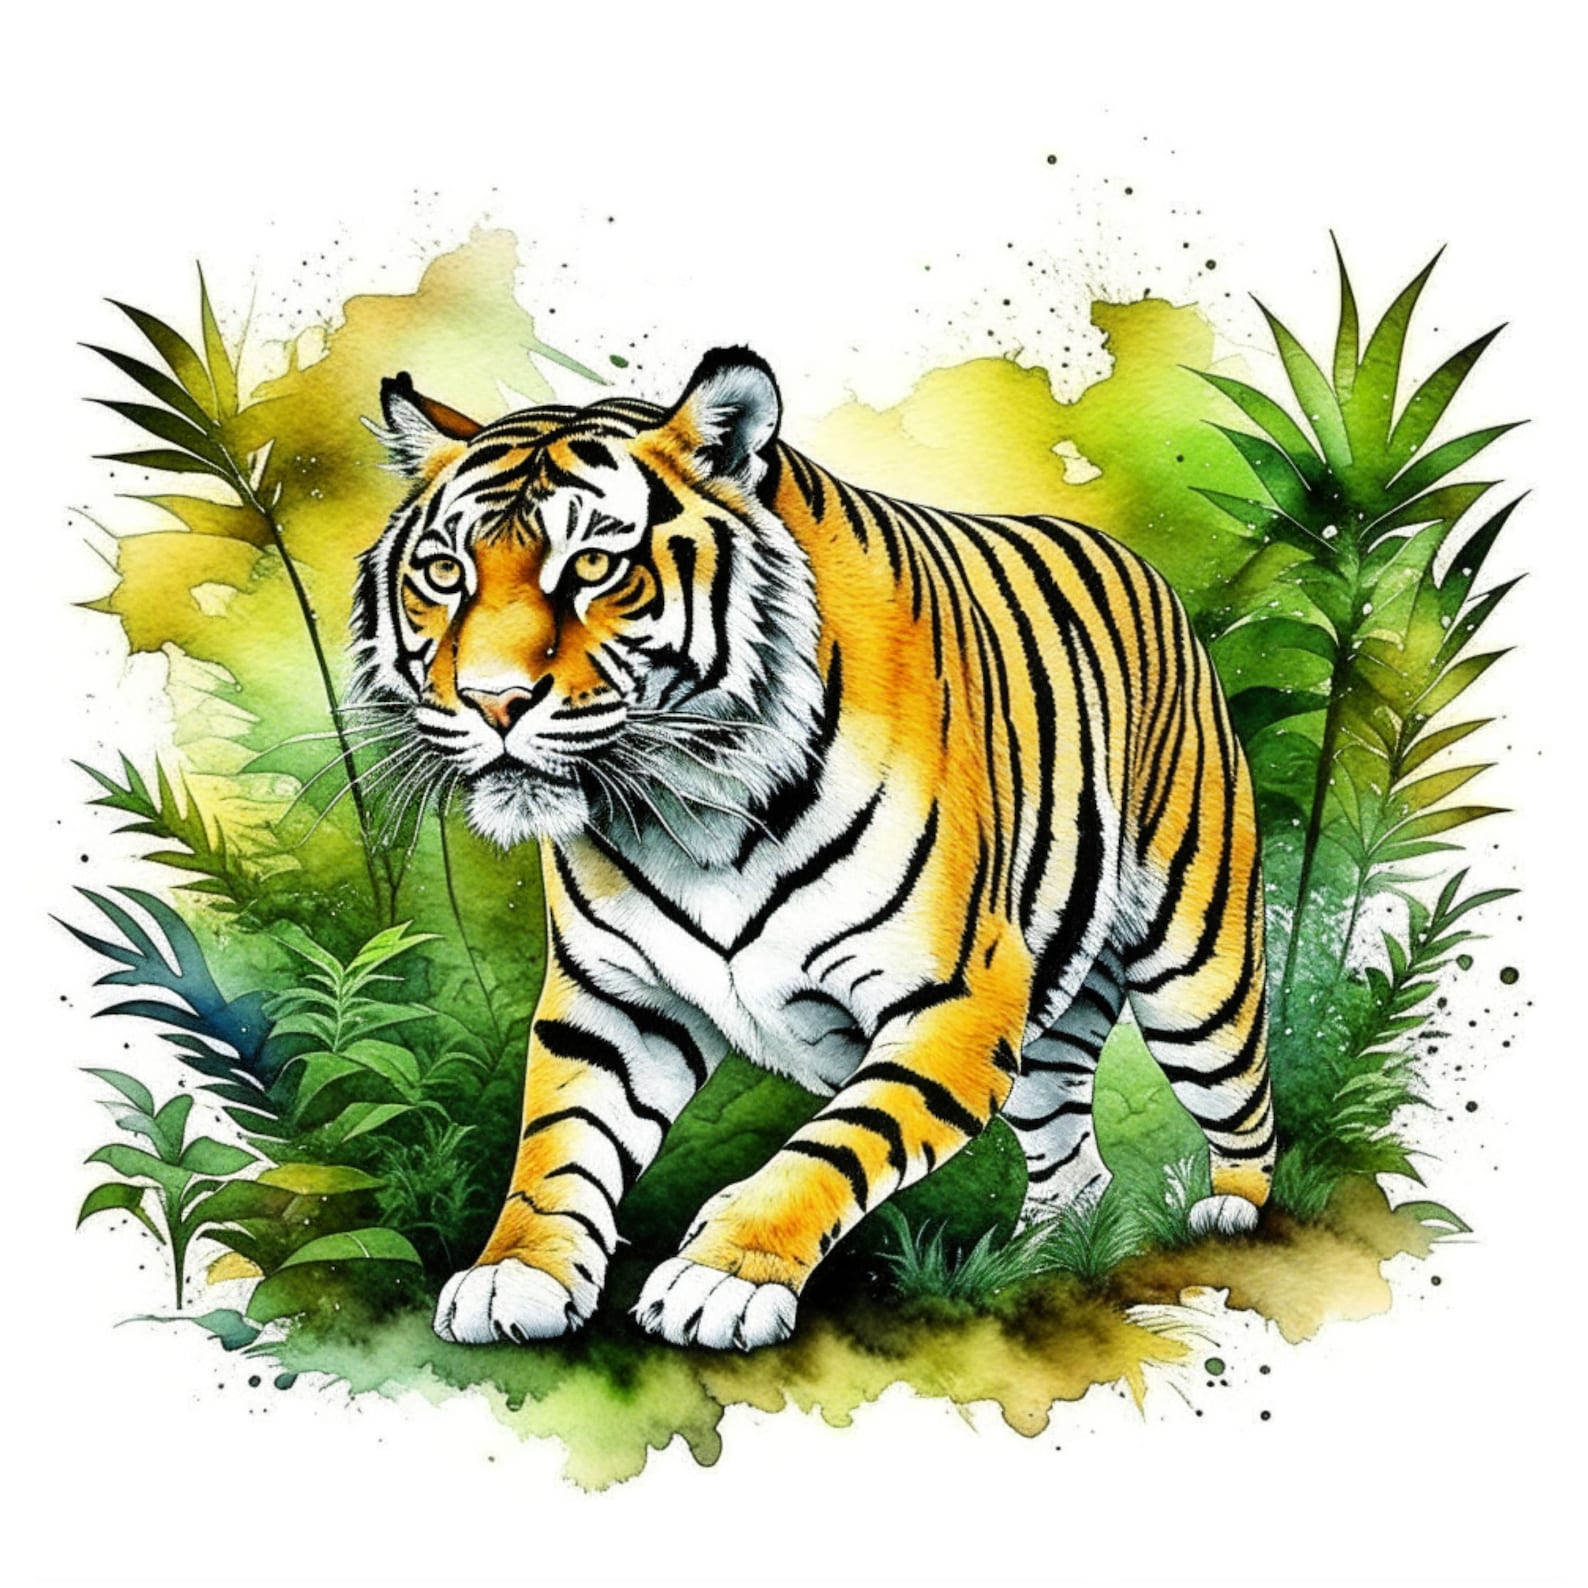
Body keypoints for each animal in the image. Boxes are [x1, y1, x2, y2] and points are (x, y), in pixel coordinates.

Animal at [350, 348, 1276, 1351]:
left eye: (594, 564)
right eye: (445, 573)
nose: (492, 701)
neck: (692, 808)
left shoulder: (954, 999)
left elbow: (833, 1145)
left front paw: (722, 1278)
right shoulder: (612, 1002)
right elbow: (561, 1145)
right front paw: (515, 1273)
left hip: (1198, 972)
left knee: (1246, 1103)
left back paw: (1230, 1211)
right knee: (1073, 1157)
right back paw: (1040, 1257)